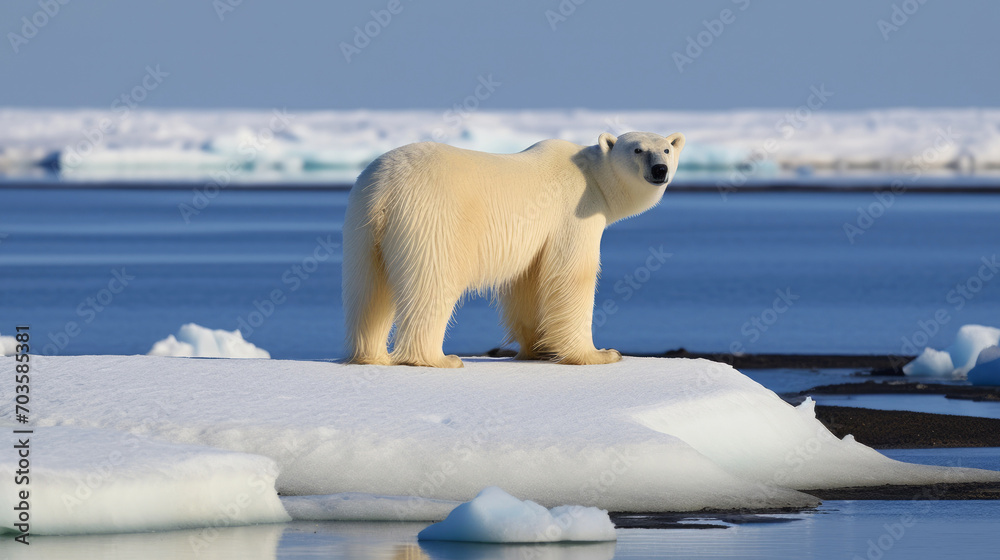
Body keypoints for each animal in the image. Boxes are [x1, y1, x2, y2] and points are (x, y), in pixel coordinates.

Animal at [342, 131, 685, 368]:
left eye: (666, 148)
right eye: (637, 149)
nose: (660, 170)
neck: (592, 177)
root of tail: (387, 189)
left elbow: (529, 283)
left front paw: (540, 349)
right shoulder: (575, 212)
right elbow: (572, 276)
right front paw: (600, 354)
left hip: (363, 223)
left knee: (368, 291)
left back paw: (372, 355)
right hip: (433, 220)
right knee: (434, 283)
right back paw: (438, 358)